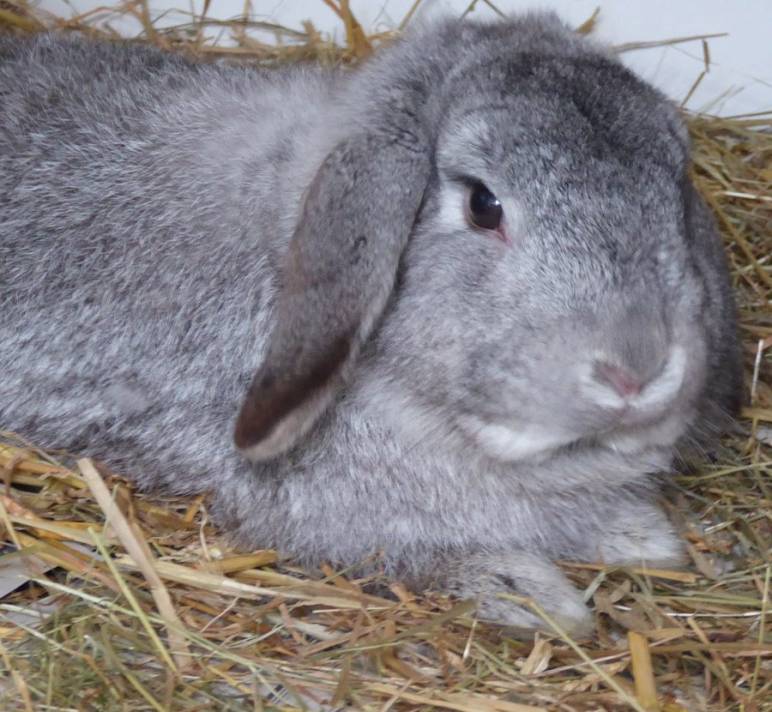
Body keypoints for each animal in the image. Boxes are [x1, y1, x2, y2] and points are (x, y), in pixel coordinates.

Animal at [0, 11, 743, 635]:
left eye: (676, 190)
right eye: (483, 204)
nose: (637, 369)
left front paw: (641, 537)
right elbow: (408, 549)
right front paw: (529, 595)